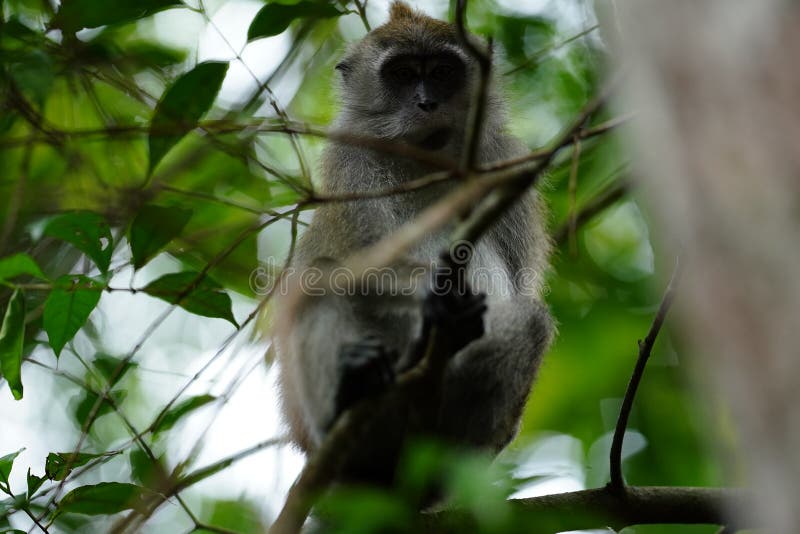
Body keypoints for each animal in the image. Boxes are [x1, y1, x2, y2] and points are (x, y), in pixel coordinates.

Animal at [275, 1, 553, 484]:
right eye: (403, 75)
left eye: (442, 72)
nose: (428, 103)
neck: (428, 163)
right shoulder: (351, 159)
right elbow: (362, 260)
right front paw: (430, 299)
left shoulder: (503, 160)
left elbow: (524, 287)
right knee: (319, 279)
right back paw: (352, 399)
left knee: (530, 320)